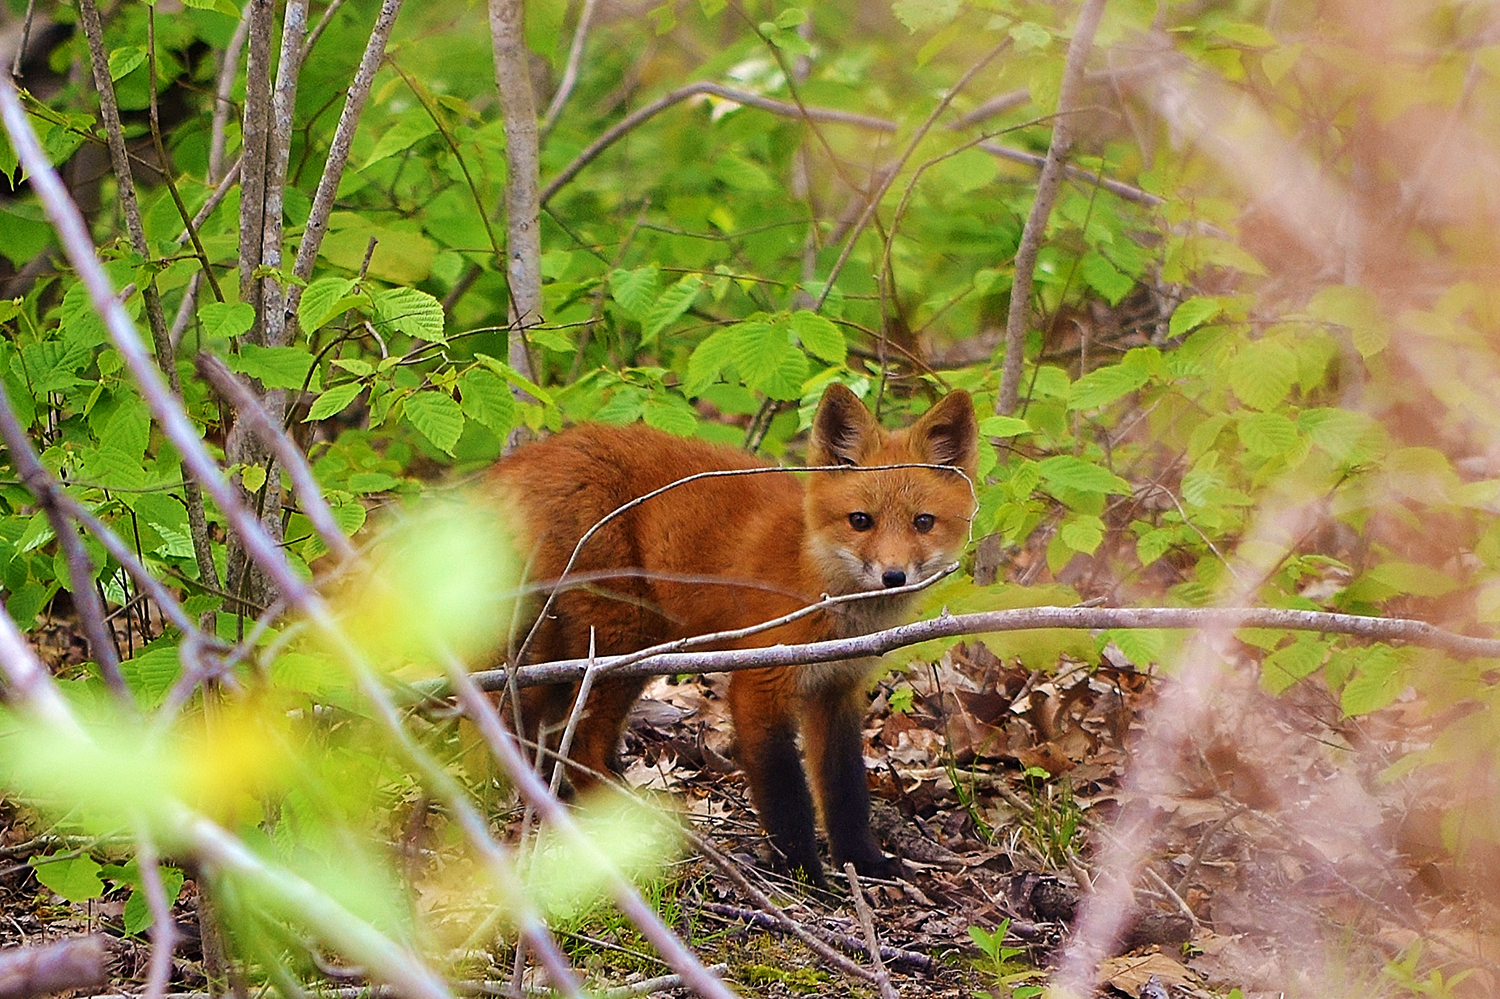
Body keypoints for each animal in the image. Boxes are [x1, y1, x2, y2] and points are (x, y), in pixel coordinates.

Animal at [490, 383, 978, 884]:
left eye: (923, 522)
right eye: (861, 520)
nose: (894, 576)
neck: (812, 575)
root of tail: (529, 455)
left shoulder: (837, 689)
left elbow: (845, 789)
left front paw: (863, 862)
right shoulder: (760, 684)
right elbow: (785, 795)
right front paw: (802, 876)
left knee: (533, 727)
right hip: (622, 640)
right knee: (572, 739)